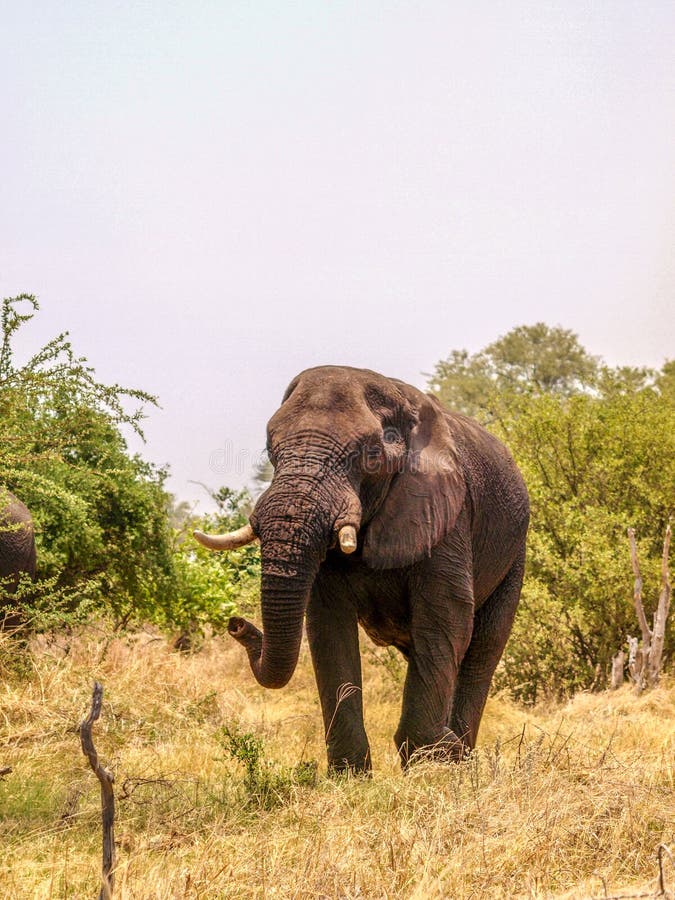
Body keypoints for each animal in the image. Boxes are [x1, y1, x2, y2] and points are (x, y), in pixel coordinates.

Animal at [195, 366, 529, 773]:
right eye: (271, 452)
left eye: (368, 455)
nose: (237, 624)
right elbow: (328, 626)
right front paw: (350, 776)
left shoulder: (445, 511)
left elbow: (444, 617)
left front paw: (433, 760)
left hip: (514, 552)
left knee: (481, 648)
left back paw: (460, 756)